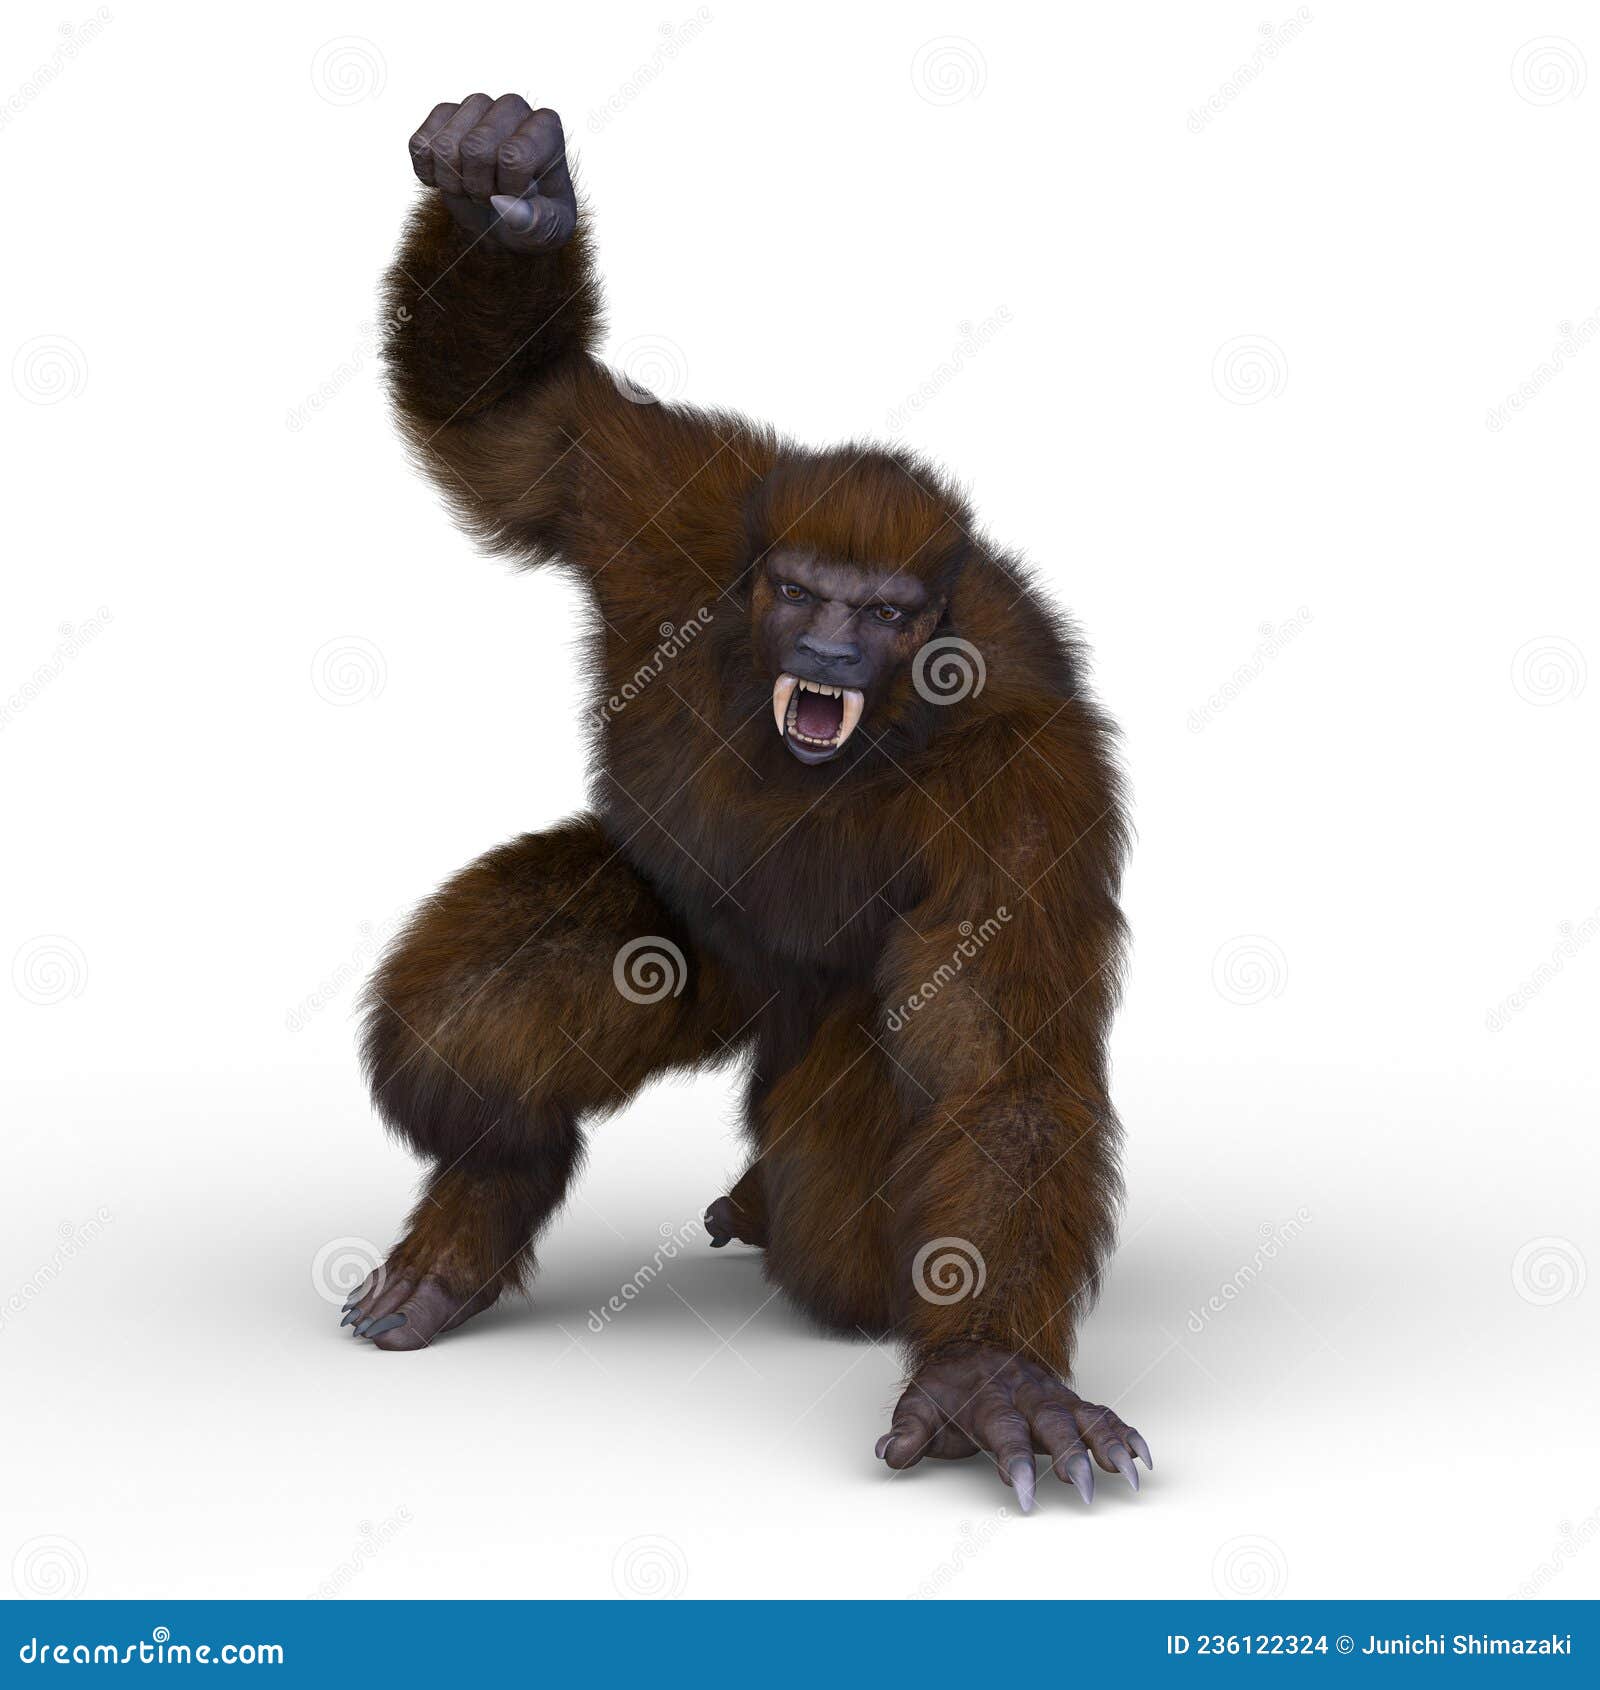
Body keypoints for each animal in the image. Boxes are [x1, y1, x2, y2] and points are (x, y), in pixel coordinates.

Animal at [344, 91, 1152, 1512]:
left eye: (886, 617)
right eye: (802, 592)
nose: (828, 650)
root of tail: (762, 1011)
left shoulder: (1032, 788)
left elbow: (1003, 1069)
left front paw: (991, 1374)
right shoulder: (664, 503)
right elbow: (519, 430)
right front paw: (509, 197)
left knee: (847, 1200)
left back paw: (776, 1213)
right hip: (695, 942)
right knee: (463, 1017)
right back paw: (487, 1193)